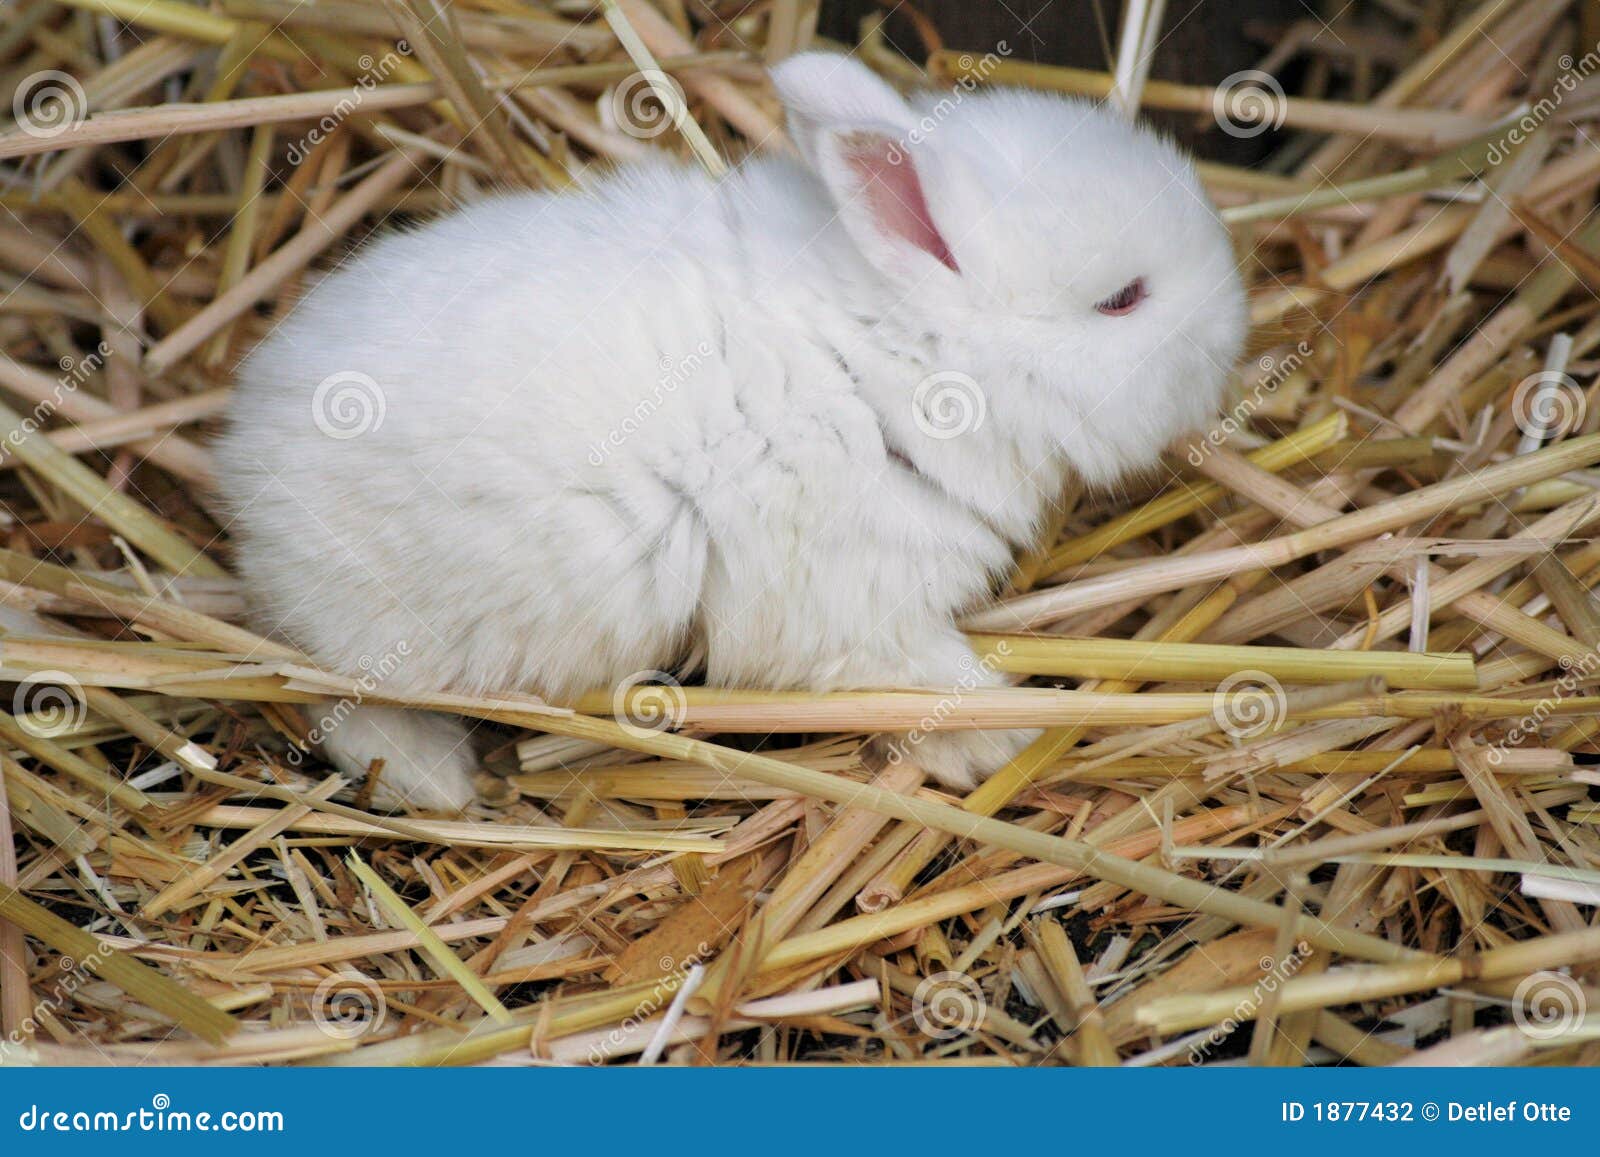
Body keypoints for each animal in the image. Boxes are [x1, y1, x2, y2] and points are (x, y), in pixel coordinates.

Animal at [215, 52, 1247, 812]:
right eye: (1122, 300)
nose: (1237, 326)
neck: (903, 352)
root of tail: (243, 455)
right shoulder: (855, 606)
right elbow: (920, 682)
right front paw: (1007, 734)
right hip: (381, 636)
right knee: (336, 700)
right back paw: (438, 779)